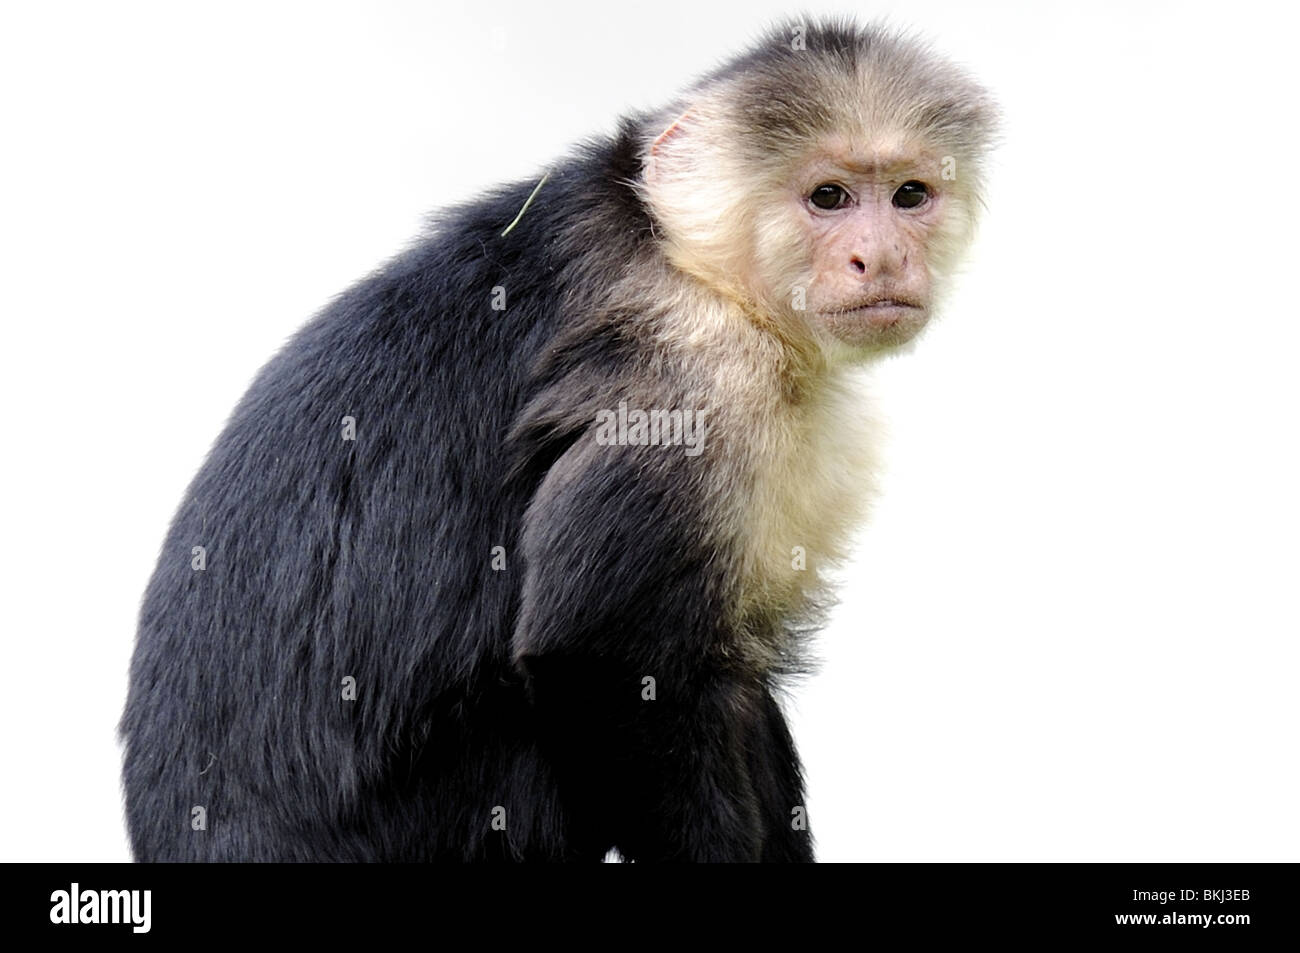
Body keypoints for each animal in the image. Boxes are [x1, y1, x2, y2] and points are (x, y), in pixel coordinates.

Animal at [119, 17, 997, 862]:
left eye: (909, 195)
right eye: (829, 197)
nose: (880, 255)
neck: (682, 257)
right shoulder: (693, 368)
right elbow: (600, 658)